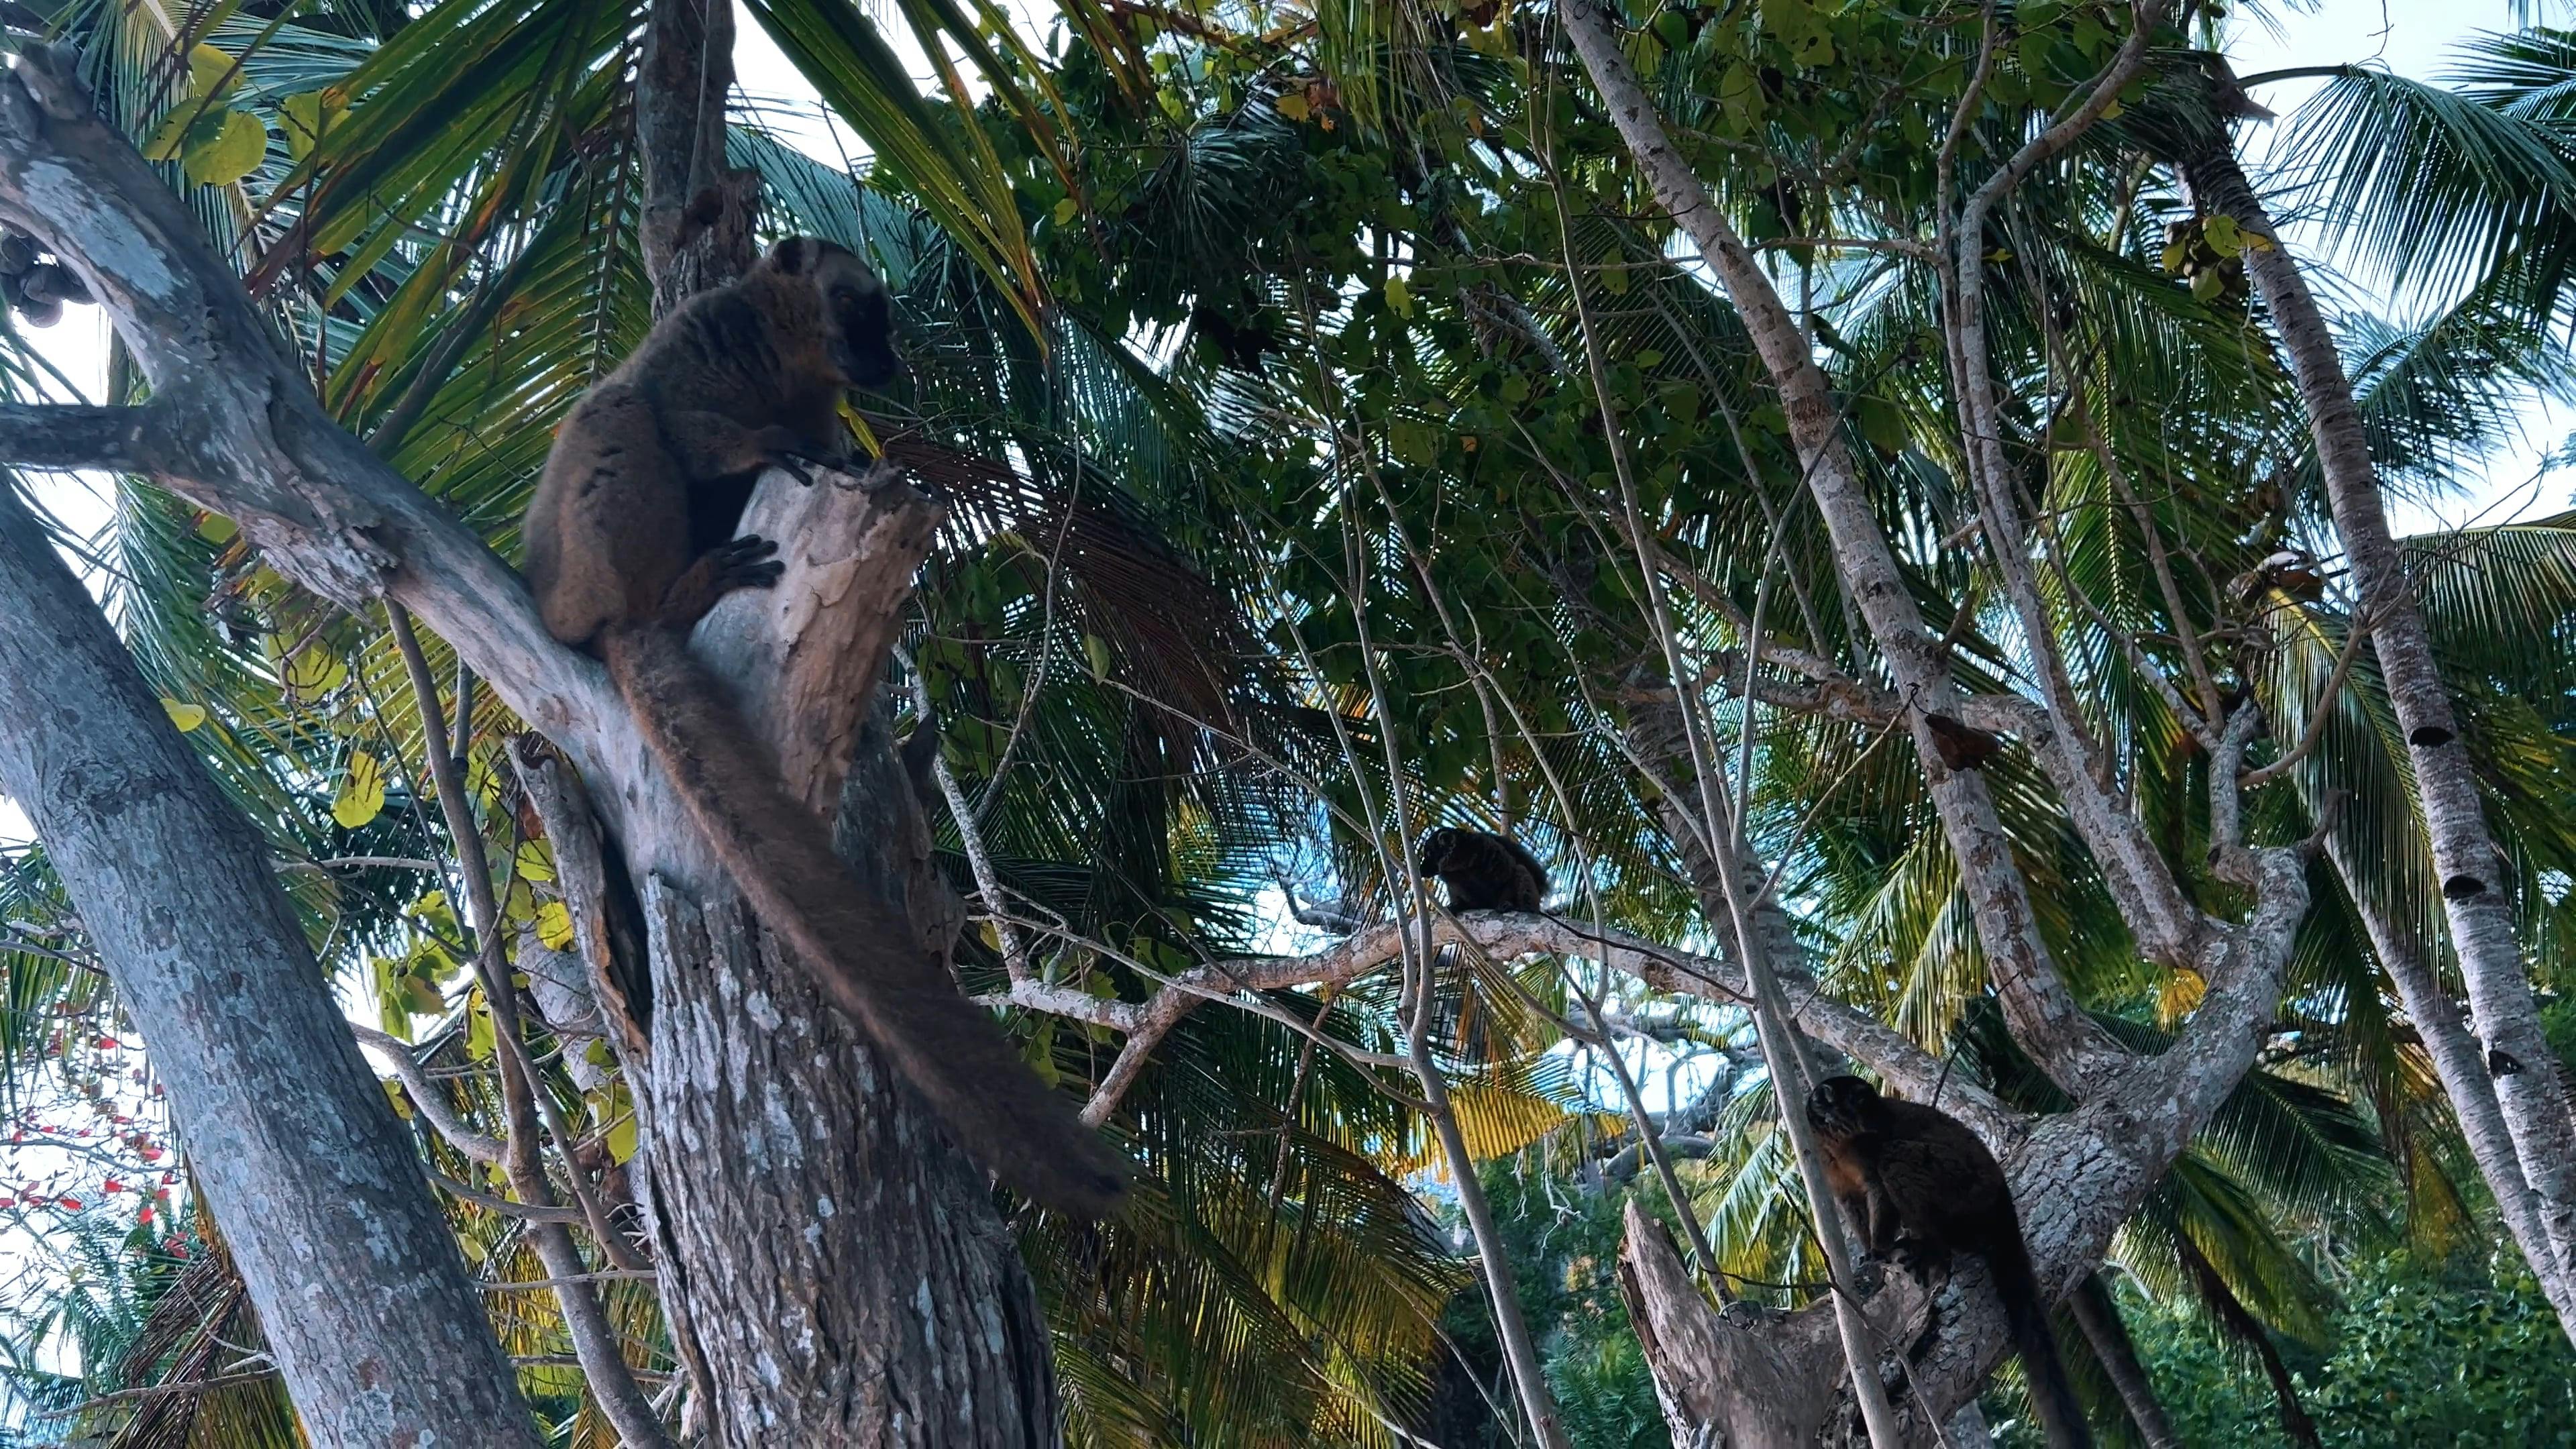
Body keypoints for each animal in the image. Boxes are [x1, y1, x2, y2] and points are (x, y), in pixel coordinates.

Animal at [522, 236, 1131, 1217]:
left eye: (885, 320)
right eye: (856, 307)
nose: (886, 362)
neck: (788, 359)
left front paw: (827, 449)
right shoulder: (697, 337)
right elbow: (686, 425)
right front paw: (777, 446)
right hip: (581, 572)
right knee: (620, 413)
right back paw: (673, 596)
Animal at [1417, 827, 1546, 913]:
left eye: (1429, 854)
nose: (1421, 868)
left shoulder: (1488, 848)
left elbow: (1509, 876)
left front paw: (1508, 904)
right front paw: (1459, 904)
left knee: (1521, 870)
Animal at [1805, 1075, 2092, 1449]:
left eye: (1863, 1098)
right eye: (1853, 1099)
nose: (1872, 1108)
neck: (1839, 1143)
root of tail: (2000, 1195)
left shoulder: (1867, 1146)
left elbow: (1878, 1187)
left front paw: (1879, 1250)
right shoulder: (1827, 1165)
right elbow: (1850, 1203)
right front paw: (1867, 1253)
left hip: (1963, 1184)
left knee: (1894, 1156)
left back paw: (1932, 1246)